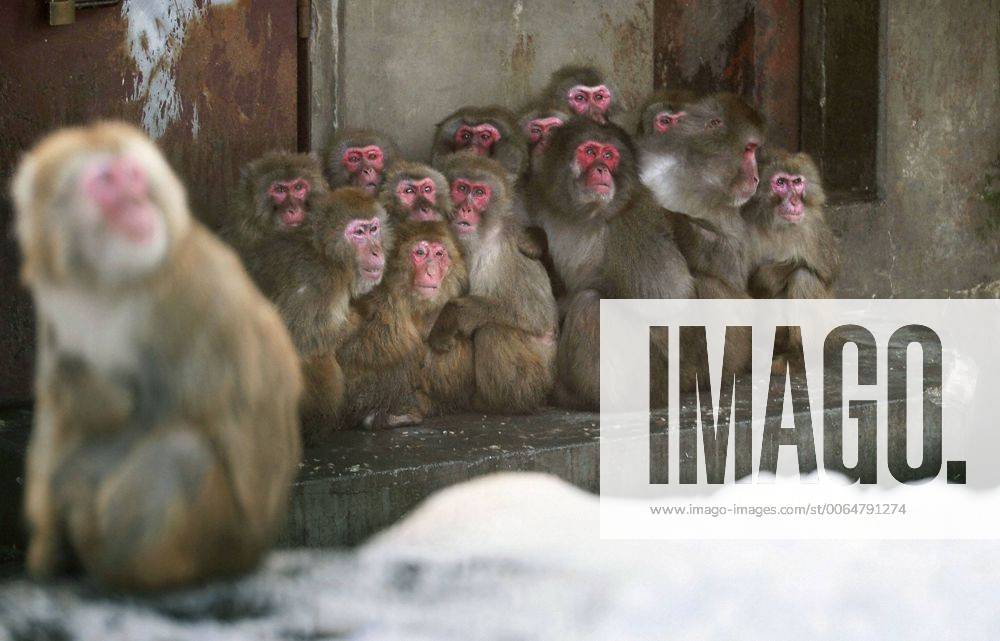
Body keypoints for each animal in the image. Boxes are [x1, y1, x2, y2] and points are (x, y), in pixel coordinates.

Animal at [11, 122, 302, 591]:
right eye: (107, 181)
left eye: (133, 177)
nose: (137, 203)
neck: (105, 281)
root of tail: (255, 551)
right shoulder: (54, 297)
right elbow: (57, 414)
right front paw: (46, 546)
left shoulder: (186, 296)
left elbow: (159, 413)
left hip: (223, 538)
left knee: (179, 453)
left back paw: (123, 571)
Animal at [428, 154, 558, 414]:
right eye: (461, 188)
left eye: (479, 193)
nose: (466, 208)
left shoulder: (511, 249)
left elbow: (537, 314)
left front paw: (452, 314)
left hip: (536, 378)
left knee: (493, 330)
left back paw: (499, 404)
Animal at [528, 118, 696, 410]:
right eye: (589, 152)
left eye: (609, 155)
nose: (601, 169)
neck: (583, 215)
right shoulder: (529, 198)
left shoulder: (634, 221)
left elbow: (669, 298)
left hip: (650, 379)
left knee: (591, 304)